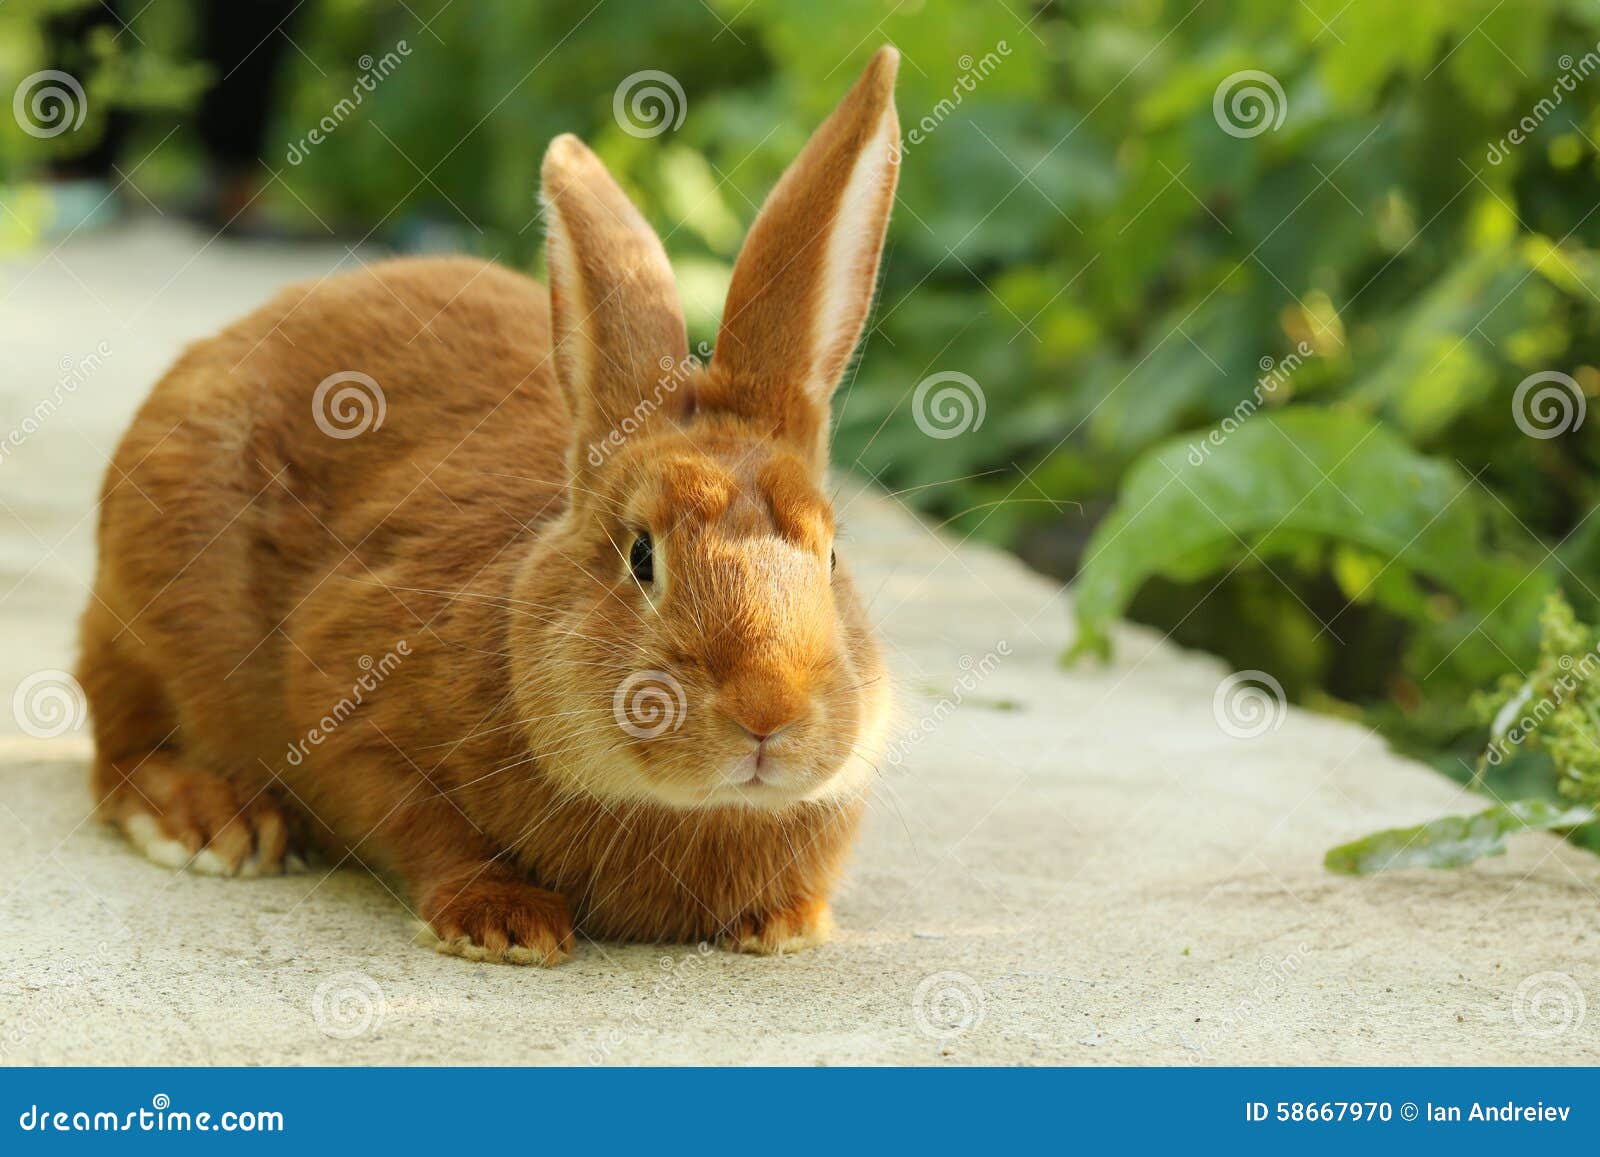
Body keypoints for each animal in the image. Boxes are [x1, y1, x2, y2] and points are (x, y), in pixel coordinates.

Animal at [76, 48, 901, 965]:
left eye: (832, 554)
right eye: (641, 555)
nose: (768, 709)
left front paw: (786, 925)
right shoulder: (358, 714)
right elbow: (424, 824)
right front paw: (506, 924)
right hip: (150, 612)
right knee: (120, 743)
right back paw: (214, 823)